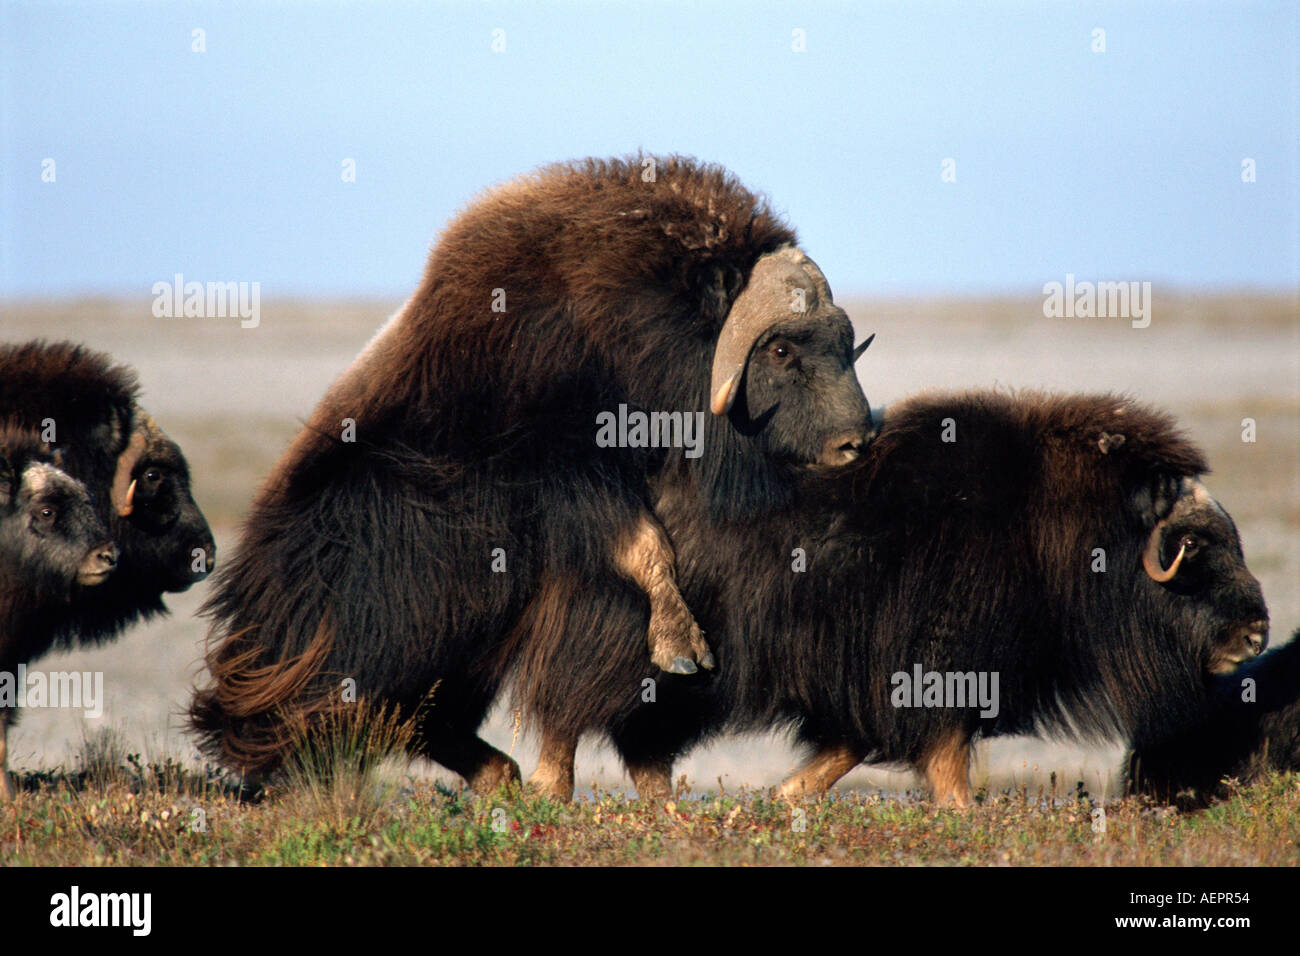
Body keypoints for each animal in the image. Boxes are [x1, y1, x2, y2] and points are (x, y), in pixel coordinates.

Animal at [190, 154, 874, 792]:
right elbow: (644, 542)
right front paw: (683, 649)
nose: (857, 443)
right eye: (781, 348)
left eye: (846, 343)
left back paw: (504, 776)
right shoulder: (565, 471)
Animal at [511, 389, 1270, 804]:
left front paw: (782, 797)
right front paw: (961, 812)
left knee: (643, 747)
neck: (1059, 532)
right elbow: (944, 756)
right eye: (1196, 543)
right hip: (642, 653)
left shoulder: (875, 679)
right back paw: (547, 794)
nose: (1256, 634)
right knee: (570, 716)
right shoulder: (943, 667)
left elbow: (852, 745)